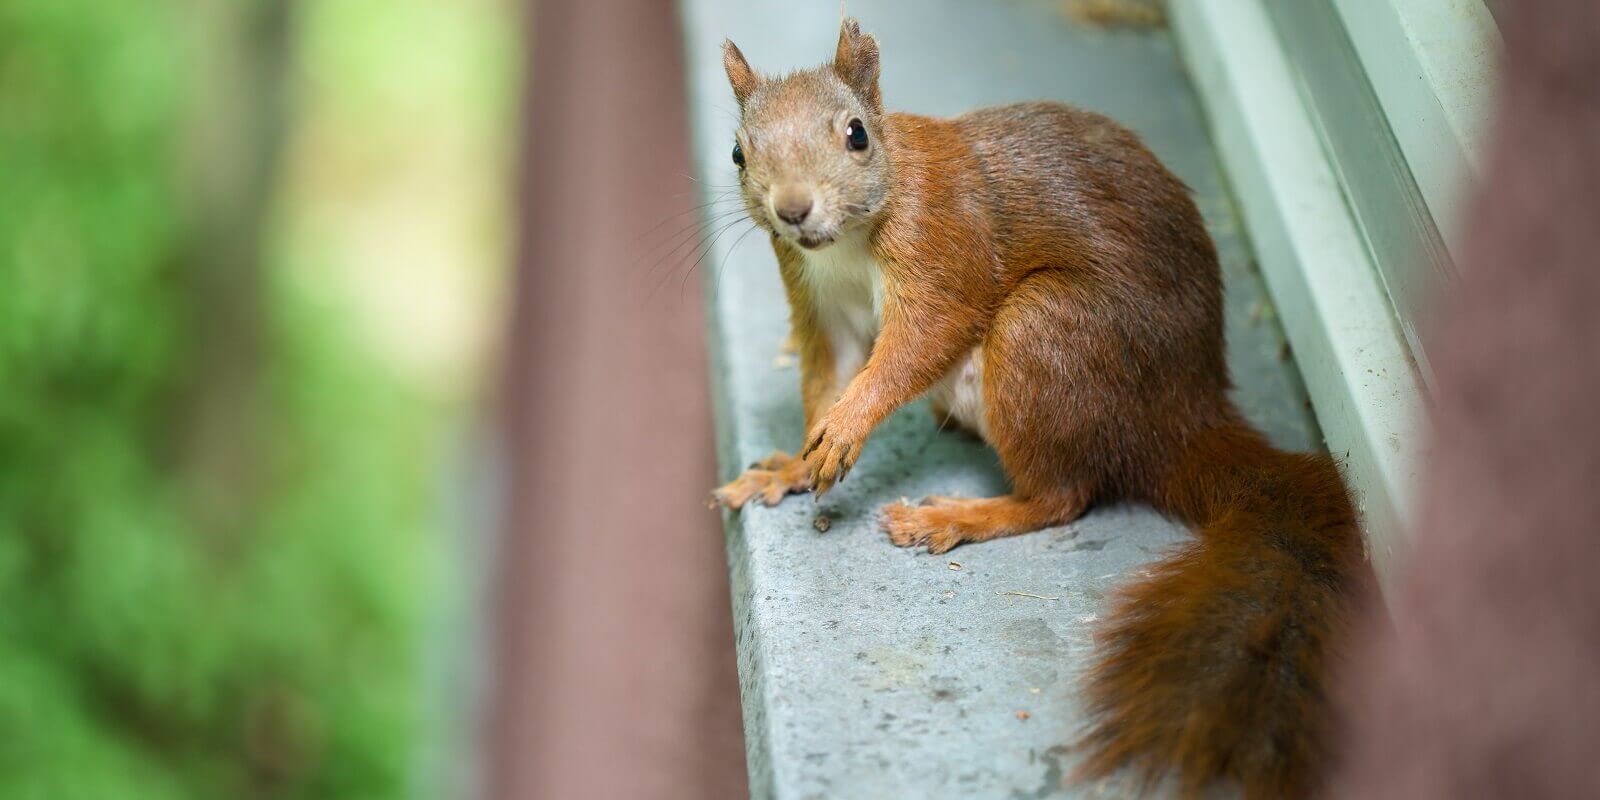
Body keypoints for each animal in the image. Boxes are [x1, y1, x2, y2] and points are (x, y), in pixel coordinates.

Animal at [712, 18, 1369, 800]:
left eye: (857, 135)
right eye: (738, 152)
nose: (793, 208)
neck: (849, 240)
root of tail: (1186, 418)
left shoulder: (944, 246)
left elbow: (922, 342)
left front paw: (848, 424)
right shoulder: (818, 298)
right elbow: (829, 375)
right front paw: (792, 463)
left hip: (1044, 334)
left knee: (1062, 496)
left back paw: (963, 516)